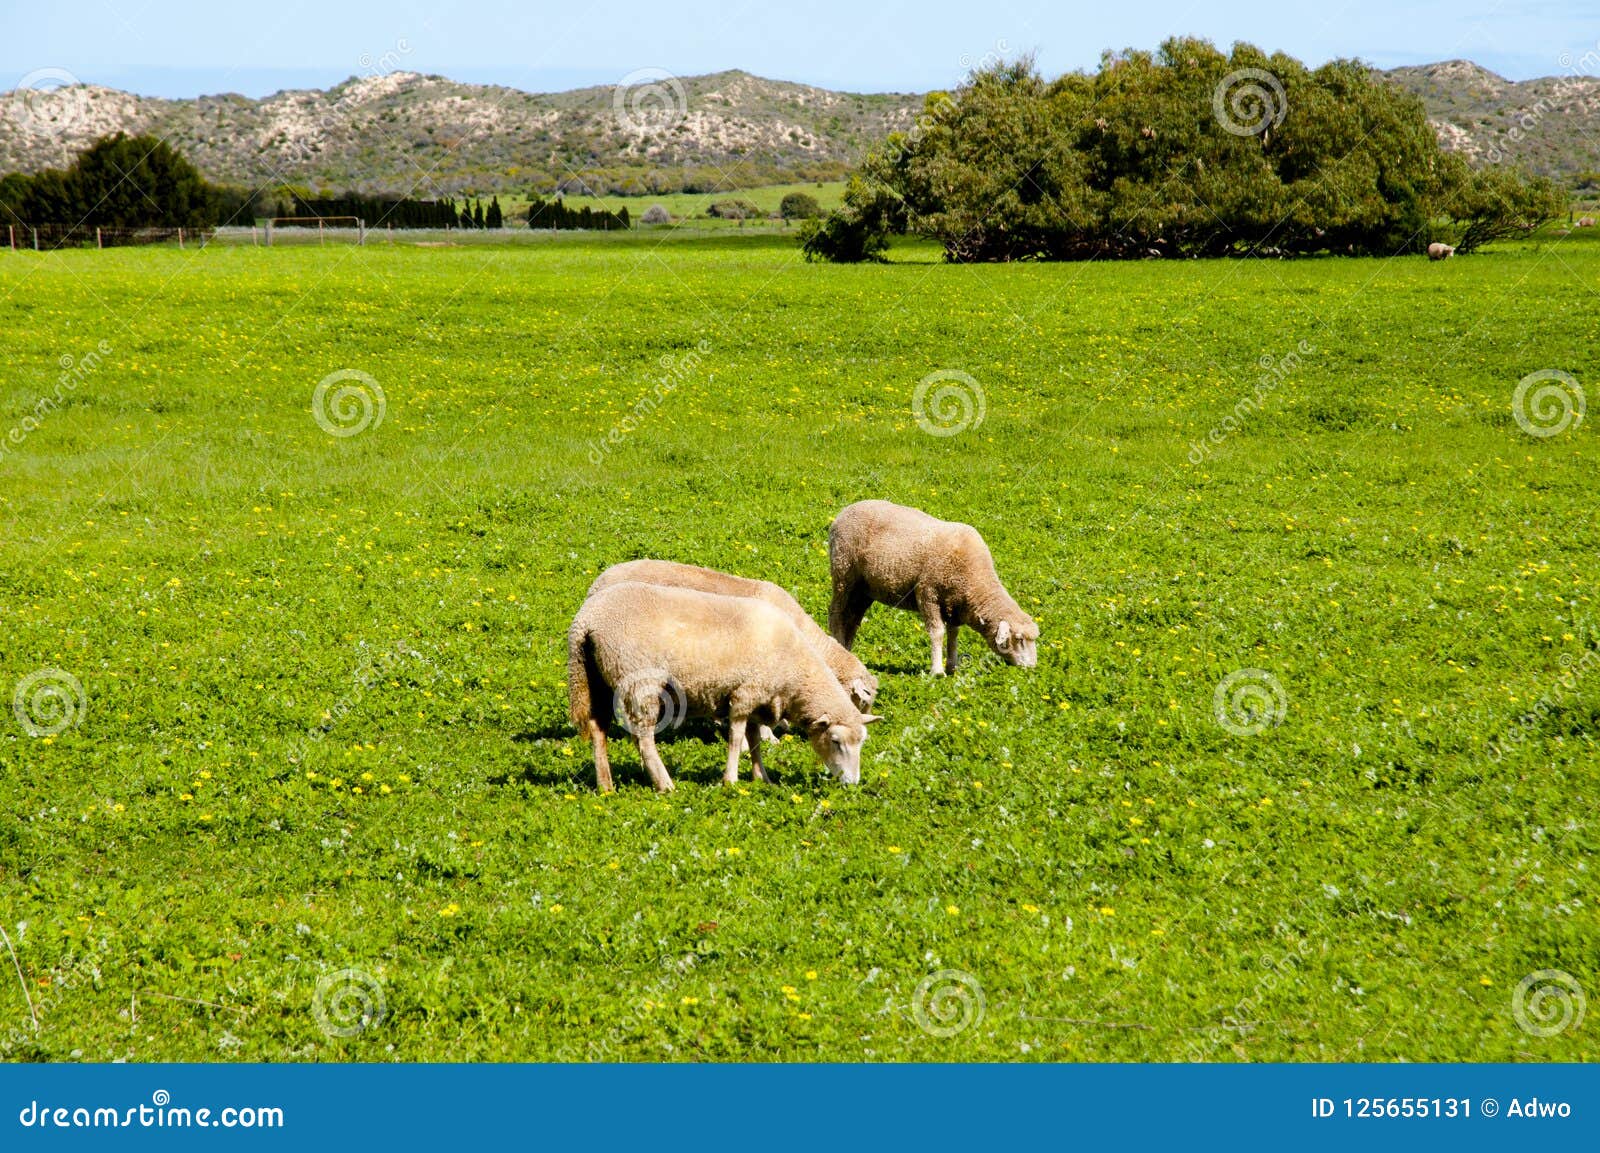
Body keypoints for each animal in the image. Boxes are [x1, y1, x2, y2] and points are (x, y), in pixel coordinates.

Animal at [568, 581, 880, 793]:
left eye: (862, 742)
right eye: (836, 741)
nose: (852, 783)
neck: (793, 673)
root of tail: (586, 621)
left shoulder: (759, 701)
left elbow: (754, 741)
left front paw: (762, 779)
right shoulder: (744, 695)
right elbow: (737, 738)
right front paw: (731, 780)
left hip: (596, 678)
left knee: (598, 729)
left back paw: (606, 786)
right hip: (638, 680)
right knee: (643, 737)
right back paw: (665, 784)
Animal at [828, 499, 1039, 676]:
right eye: (1019, 639)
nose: (1032, 667)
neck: (974, 579)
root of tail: (844, 512)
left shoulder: (955, 605)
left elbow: (953, 635)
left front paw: (952, 667)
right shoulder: (927, 594)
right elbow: (937, 633)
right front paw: (937, 671)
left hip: (864, 589)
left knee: (853, 619)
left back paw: (848, 652)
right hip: (843, 574)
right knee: (836, 614)